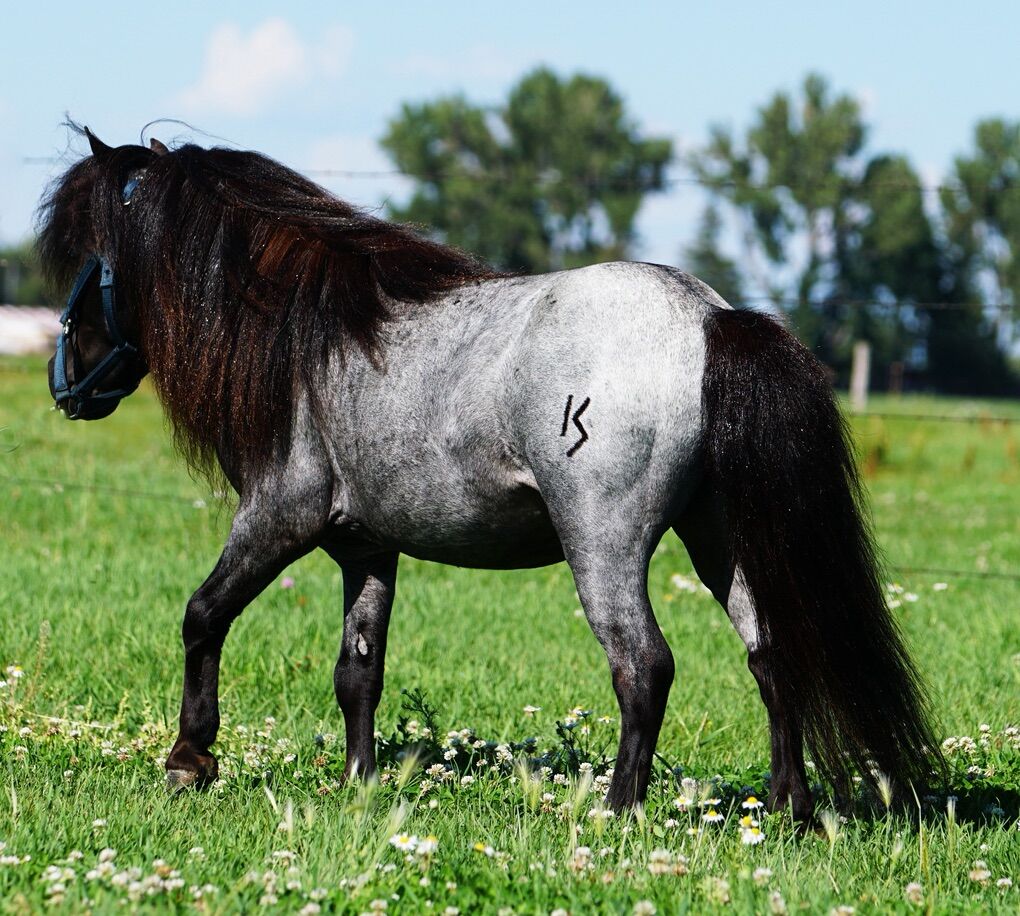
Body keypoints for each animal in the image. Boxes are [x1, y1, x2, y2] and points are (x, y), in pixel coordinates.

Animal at [38, 126, 943, 820]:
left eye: (95, 257)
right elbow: (357, 672)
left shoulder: (277, 517)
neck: (308, 341)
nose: (65, 379)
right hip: (720, 539)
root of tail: (710, 319)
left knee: (644, 665)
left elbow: (202, 616)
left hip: (604, 543)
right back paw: (788, 809)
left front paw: (189, 759)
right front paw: (359, 785)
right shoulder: (365, 547)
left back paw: (618, 812)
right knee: (770, 651)